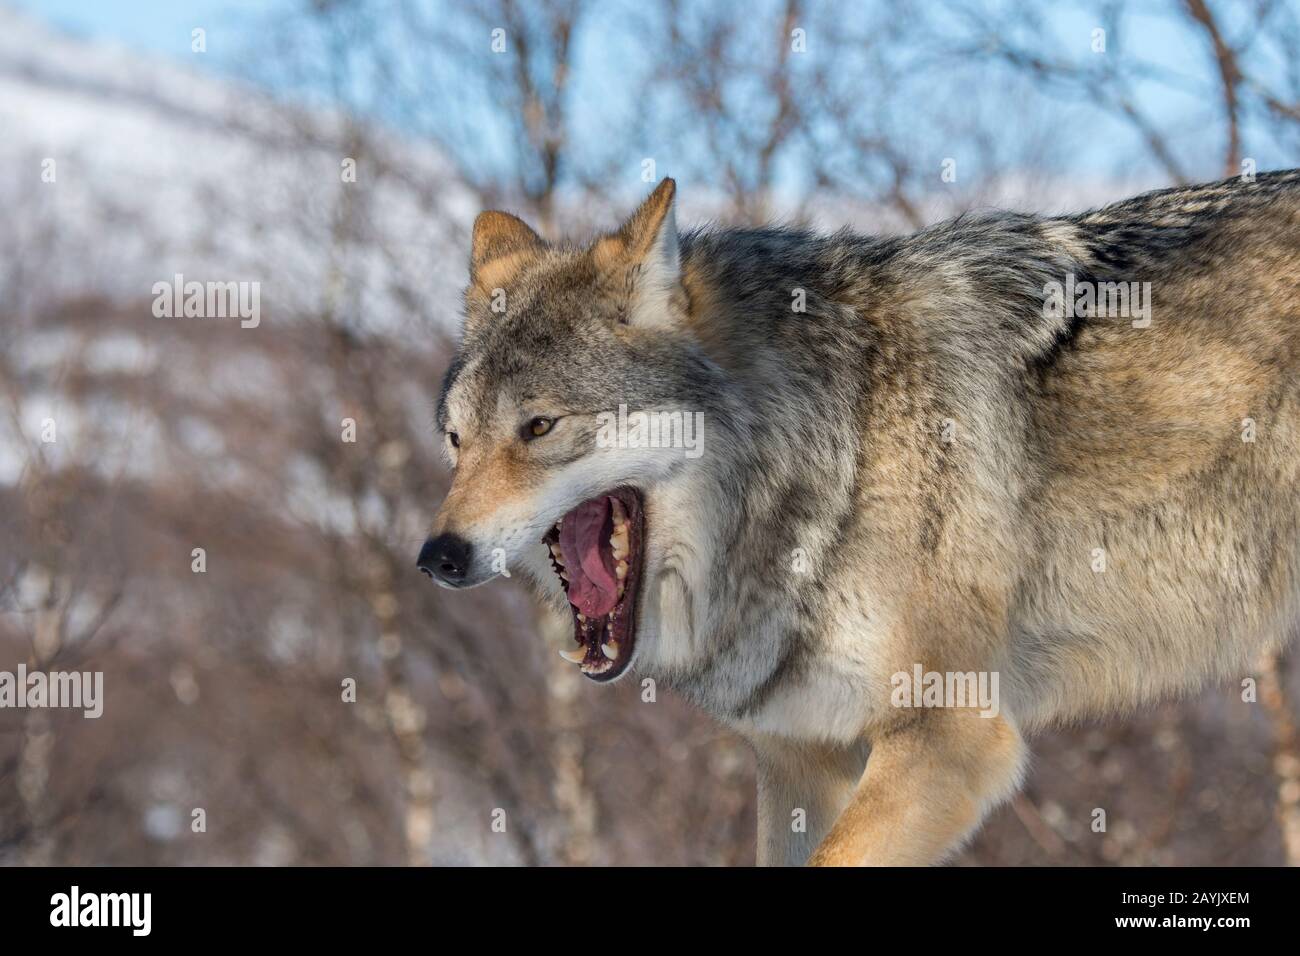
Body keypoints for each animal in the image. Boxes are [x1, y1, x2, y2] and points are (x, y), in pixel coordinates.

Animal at [419, 169, 1300, 865]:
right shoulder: (801, 761)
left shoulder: (949, 737)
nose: (438, 557)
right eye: (456, 439)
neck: (834, 459)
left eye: (540, 427)